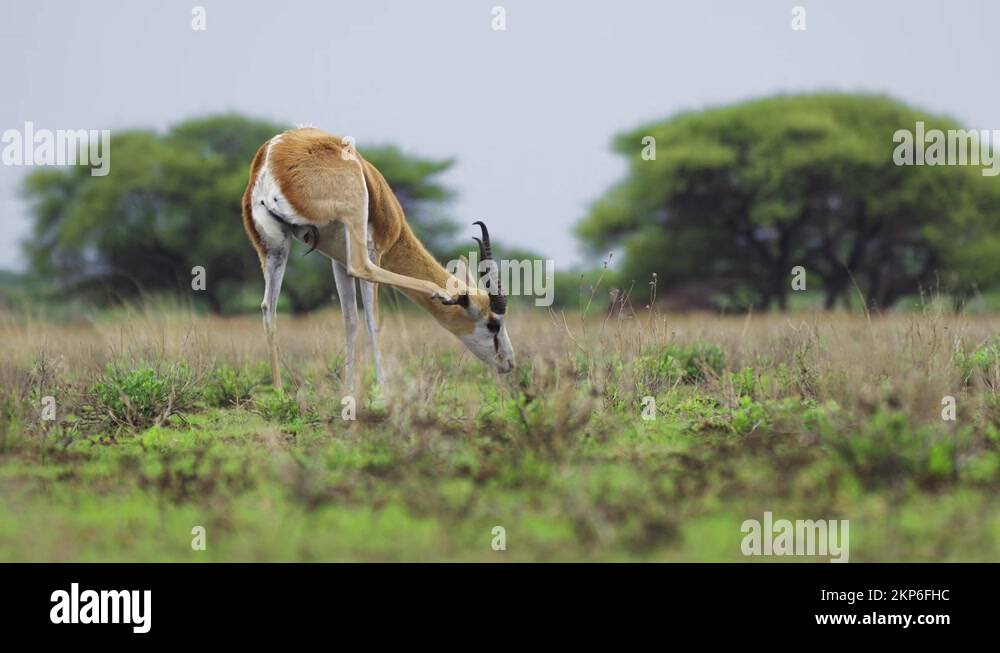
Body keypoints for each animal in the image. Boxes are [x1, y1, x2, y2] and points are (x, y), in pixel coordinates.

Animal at [241, 128, 515, 389]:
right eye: (493, 324)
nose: (509, 363)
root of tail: (271, 157)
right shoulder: (375, 249)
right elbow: (373, 322)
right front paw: (382, 390)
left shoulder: (338, 261)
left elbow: (350, 320)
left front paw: (349, 390)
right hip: (356, 225)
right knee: (364, 271)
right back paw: (439, 292)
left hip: (275, 249)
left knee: (268, 309)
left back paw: (279, 392)